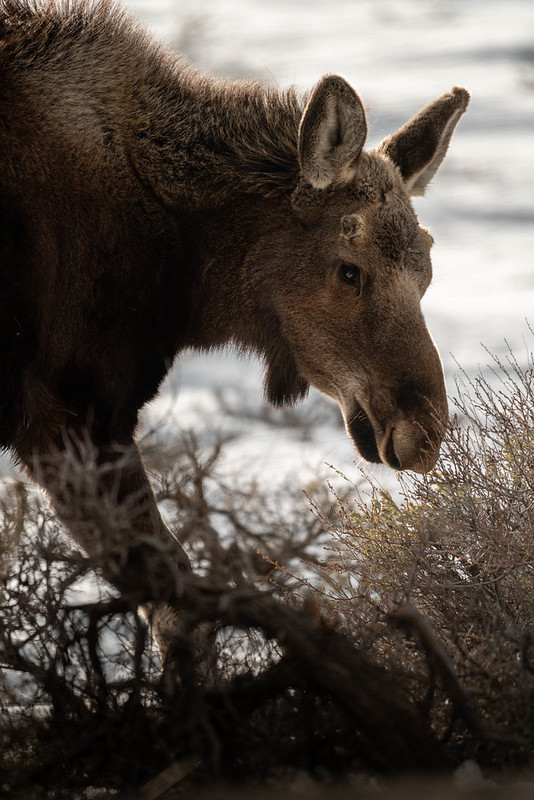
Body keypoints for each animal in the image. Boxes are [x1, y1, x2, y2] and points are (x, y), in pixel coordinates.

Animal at [0, 0, 469, 661]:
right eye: (349, 269)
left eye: (426, 267)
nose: (423, 433)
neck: (184, 274)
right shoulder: (71, 411)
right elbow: (177, 609)